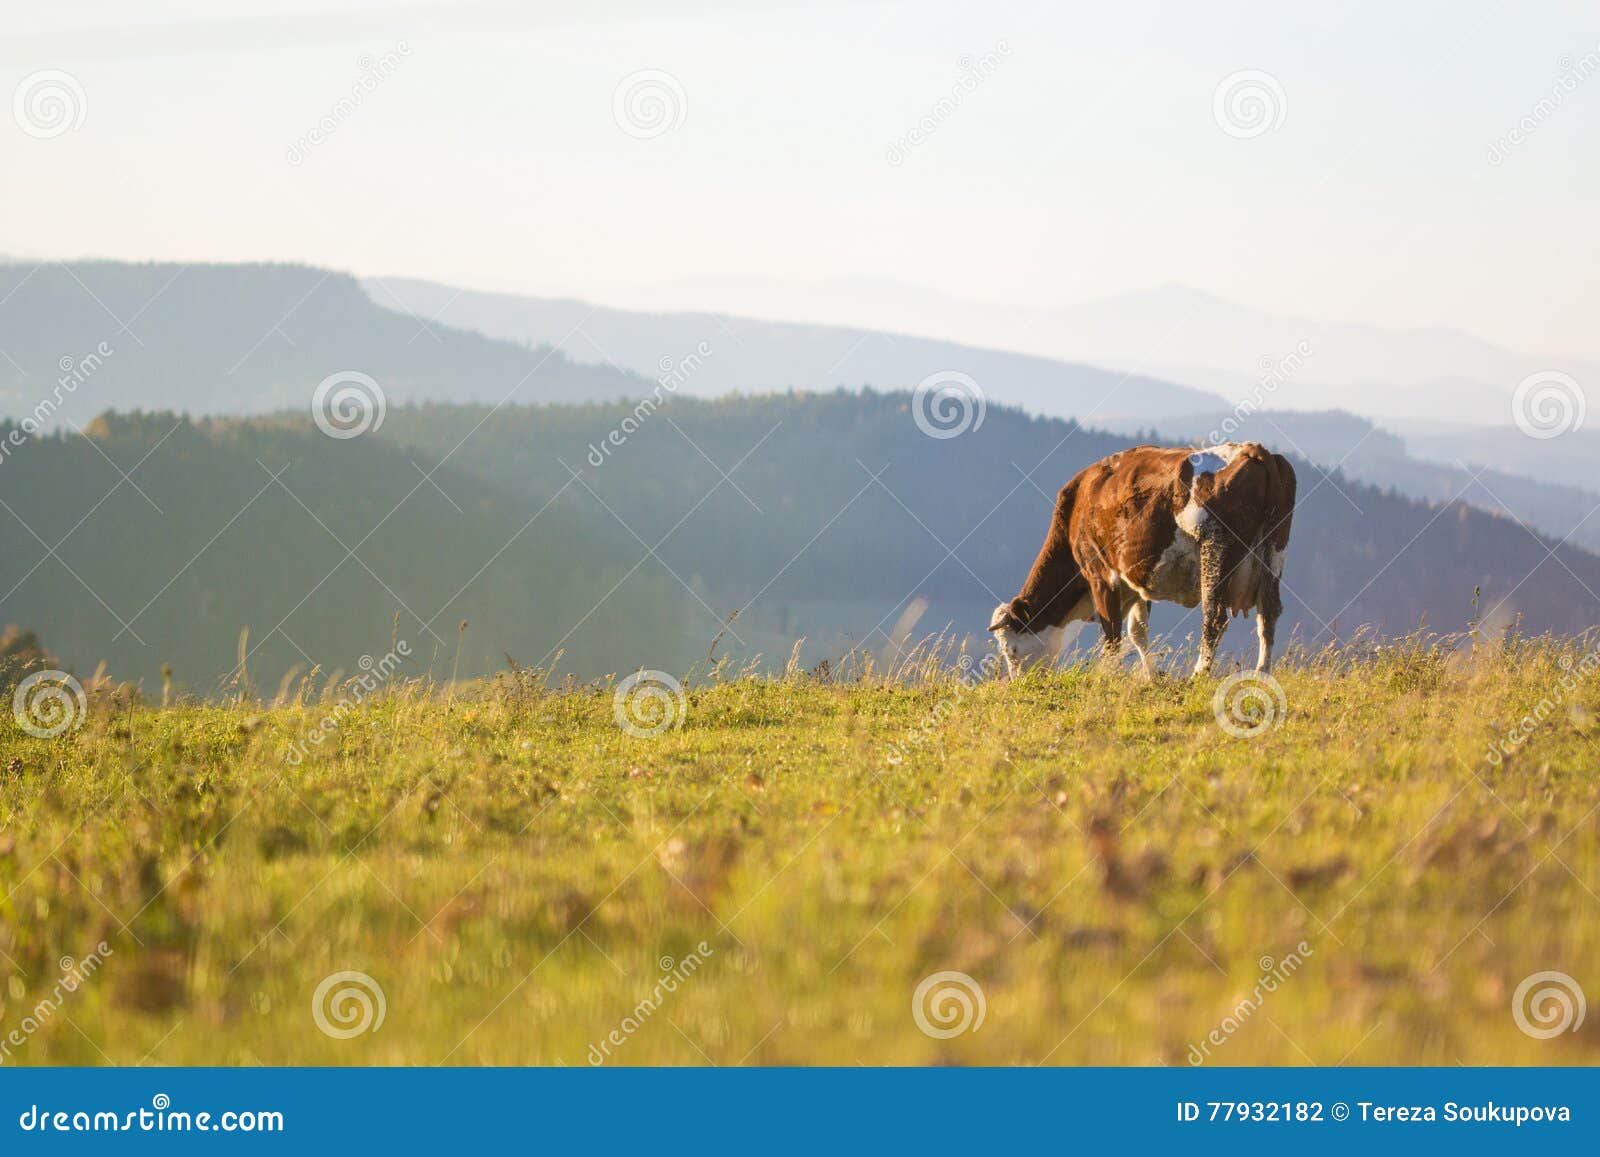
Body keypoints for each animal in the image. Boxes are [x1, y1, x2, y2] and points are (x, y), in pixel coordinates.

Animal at [987, 443, 1296, 679]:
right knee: (1268, 613)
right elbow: (1137, 632)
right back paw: (1262, 672)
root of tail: (1253, 449)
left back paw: (1199, 675)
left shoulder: (1101, 575)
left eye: (1011, 650)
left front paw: (1110, 675)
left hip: (1217, 549)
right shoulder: (1136, 581)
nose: (1020, 683)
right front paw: (1152, 675)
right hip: (1274, 552)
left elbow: (1112, 634)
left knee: (1215, 616)